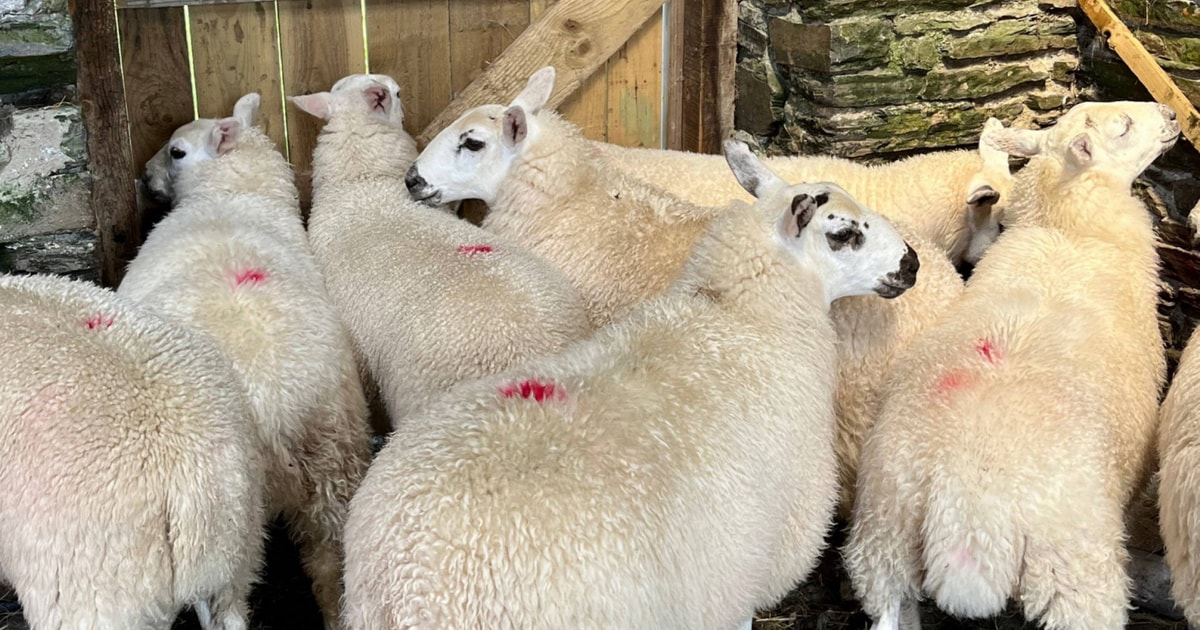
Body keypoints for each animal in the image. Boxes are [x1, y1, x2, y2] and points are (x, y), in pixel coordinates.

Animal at [122, 92, 373, 630]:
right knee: (329, 562)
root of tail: (275, 402)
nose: (142, 179)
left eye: (176, 151)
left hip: (223, 511)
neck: (237, 196)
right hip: (333, 464)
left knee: (226, 604)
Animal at [844, 101, 1181, 630]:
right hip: (1073, 571)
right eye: (1122, 127)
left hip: (884, 540)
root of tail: (968, 518)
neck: (1067, 228)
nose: (1171, 115)